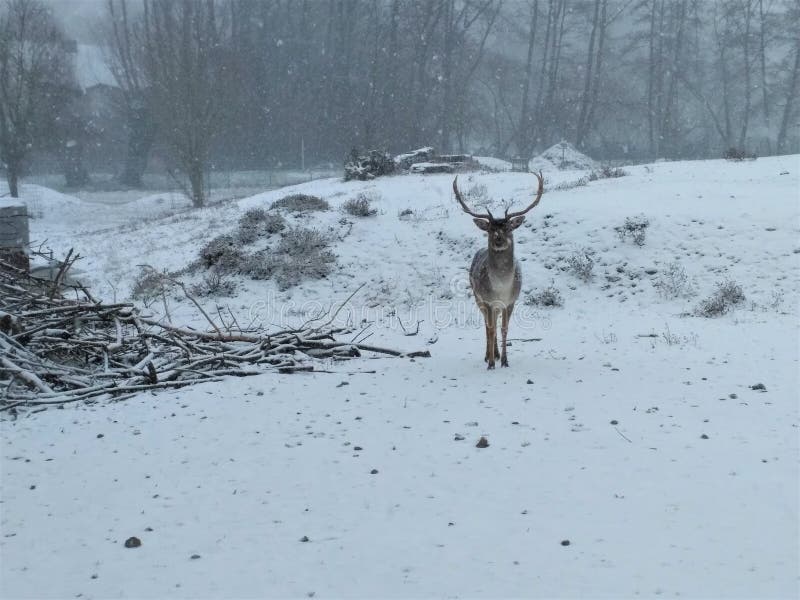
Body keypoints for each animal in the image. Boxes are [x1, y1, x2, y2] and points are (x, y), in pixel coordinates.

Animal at [453, 172, 544, 369]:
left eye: (509, 227)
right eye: (490, 229)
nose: (499, 240)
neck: (501, 287)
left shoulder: (511, 301)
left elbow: (504, 329)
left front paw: (504, 361)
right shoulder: (487, 300)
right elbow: (491, 329)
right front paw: (491, 363)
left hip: (496, 305)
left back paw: (494, 354)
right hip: (478, 297)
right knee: (487, 325)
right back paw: (488, 356)